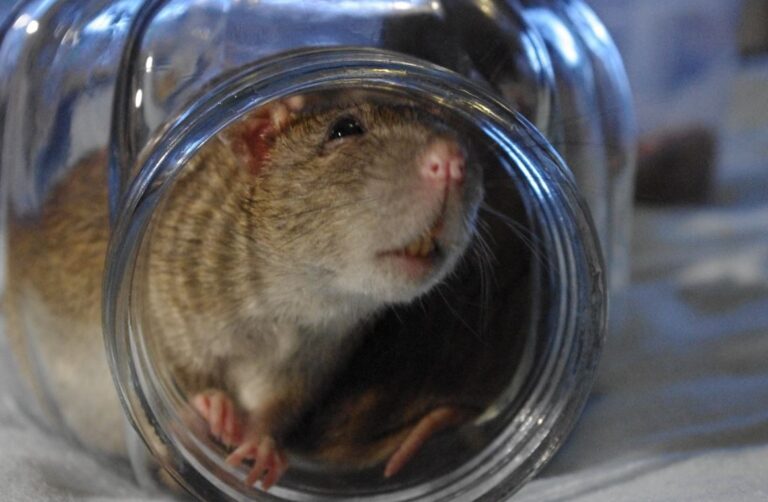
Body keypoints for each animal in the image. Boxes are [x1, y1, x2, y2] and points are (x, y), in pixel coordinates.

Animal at [4, 93, 493, 491]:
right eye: (345, 129)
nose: (452, 158)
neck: (301, 298)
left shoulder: (316, 352)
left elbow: (281, 401)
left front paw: (260, 440)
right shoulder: (165, 284)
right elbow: (165, 347)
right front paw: (207, 404)